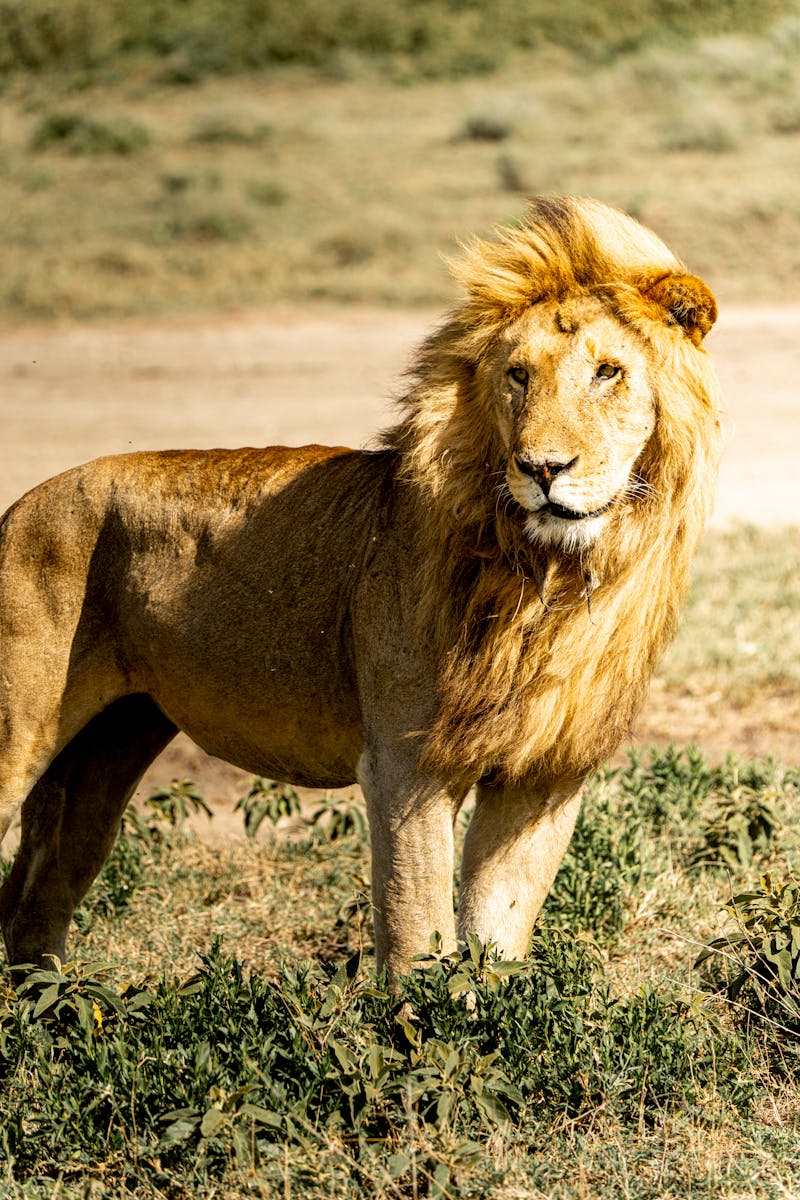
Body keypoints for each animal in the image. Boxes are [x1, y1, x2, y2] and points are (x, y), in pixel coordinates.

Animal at [0, 196, 722, 979]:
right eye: (517, 375)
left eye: (608, 372)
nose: (542, 468)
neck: (545, 579)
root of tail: (19, 507)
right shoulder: (406, 766)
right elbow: (418, 933)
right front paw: (427, 1013)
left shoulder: (543, 776)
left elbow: (497, 936)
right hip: (22, 734)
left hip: (107, 751)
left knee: (35, 911)